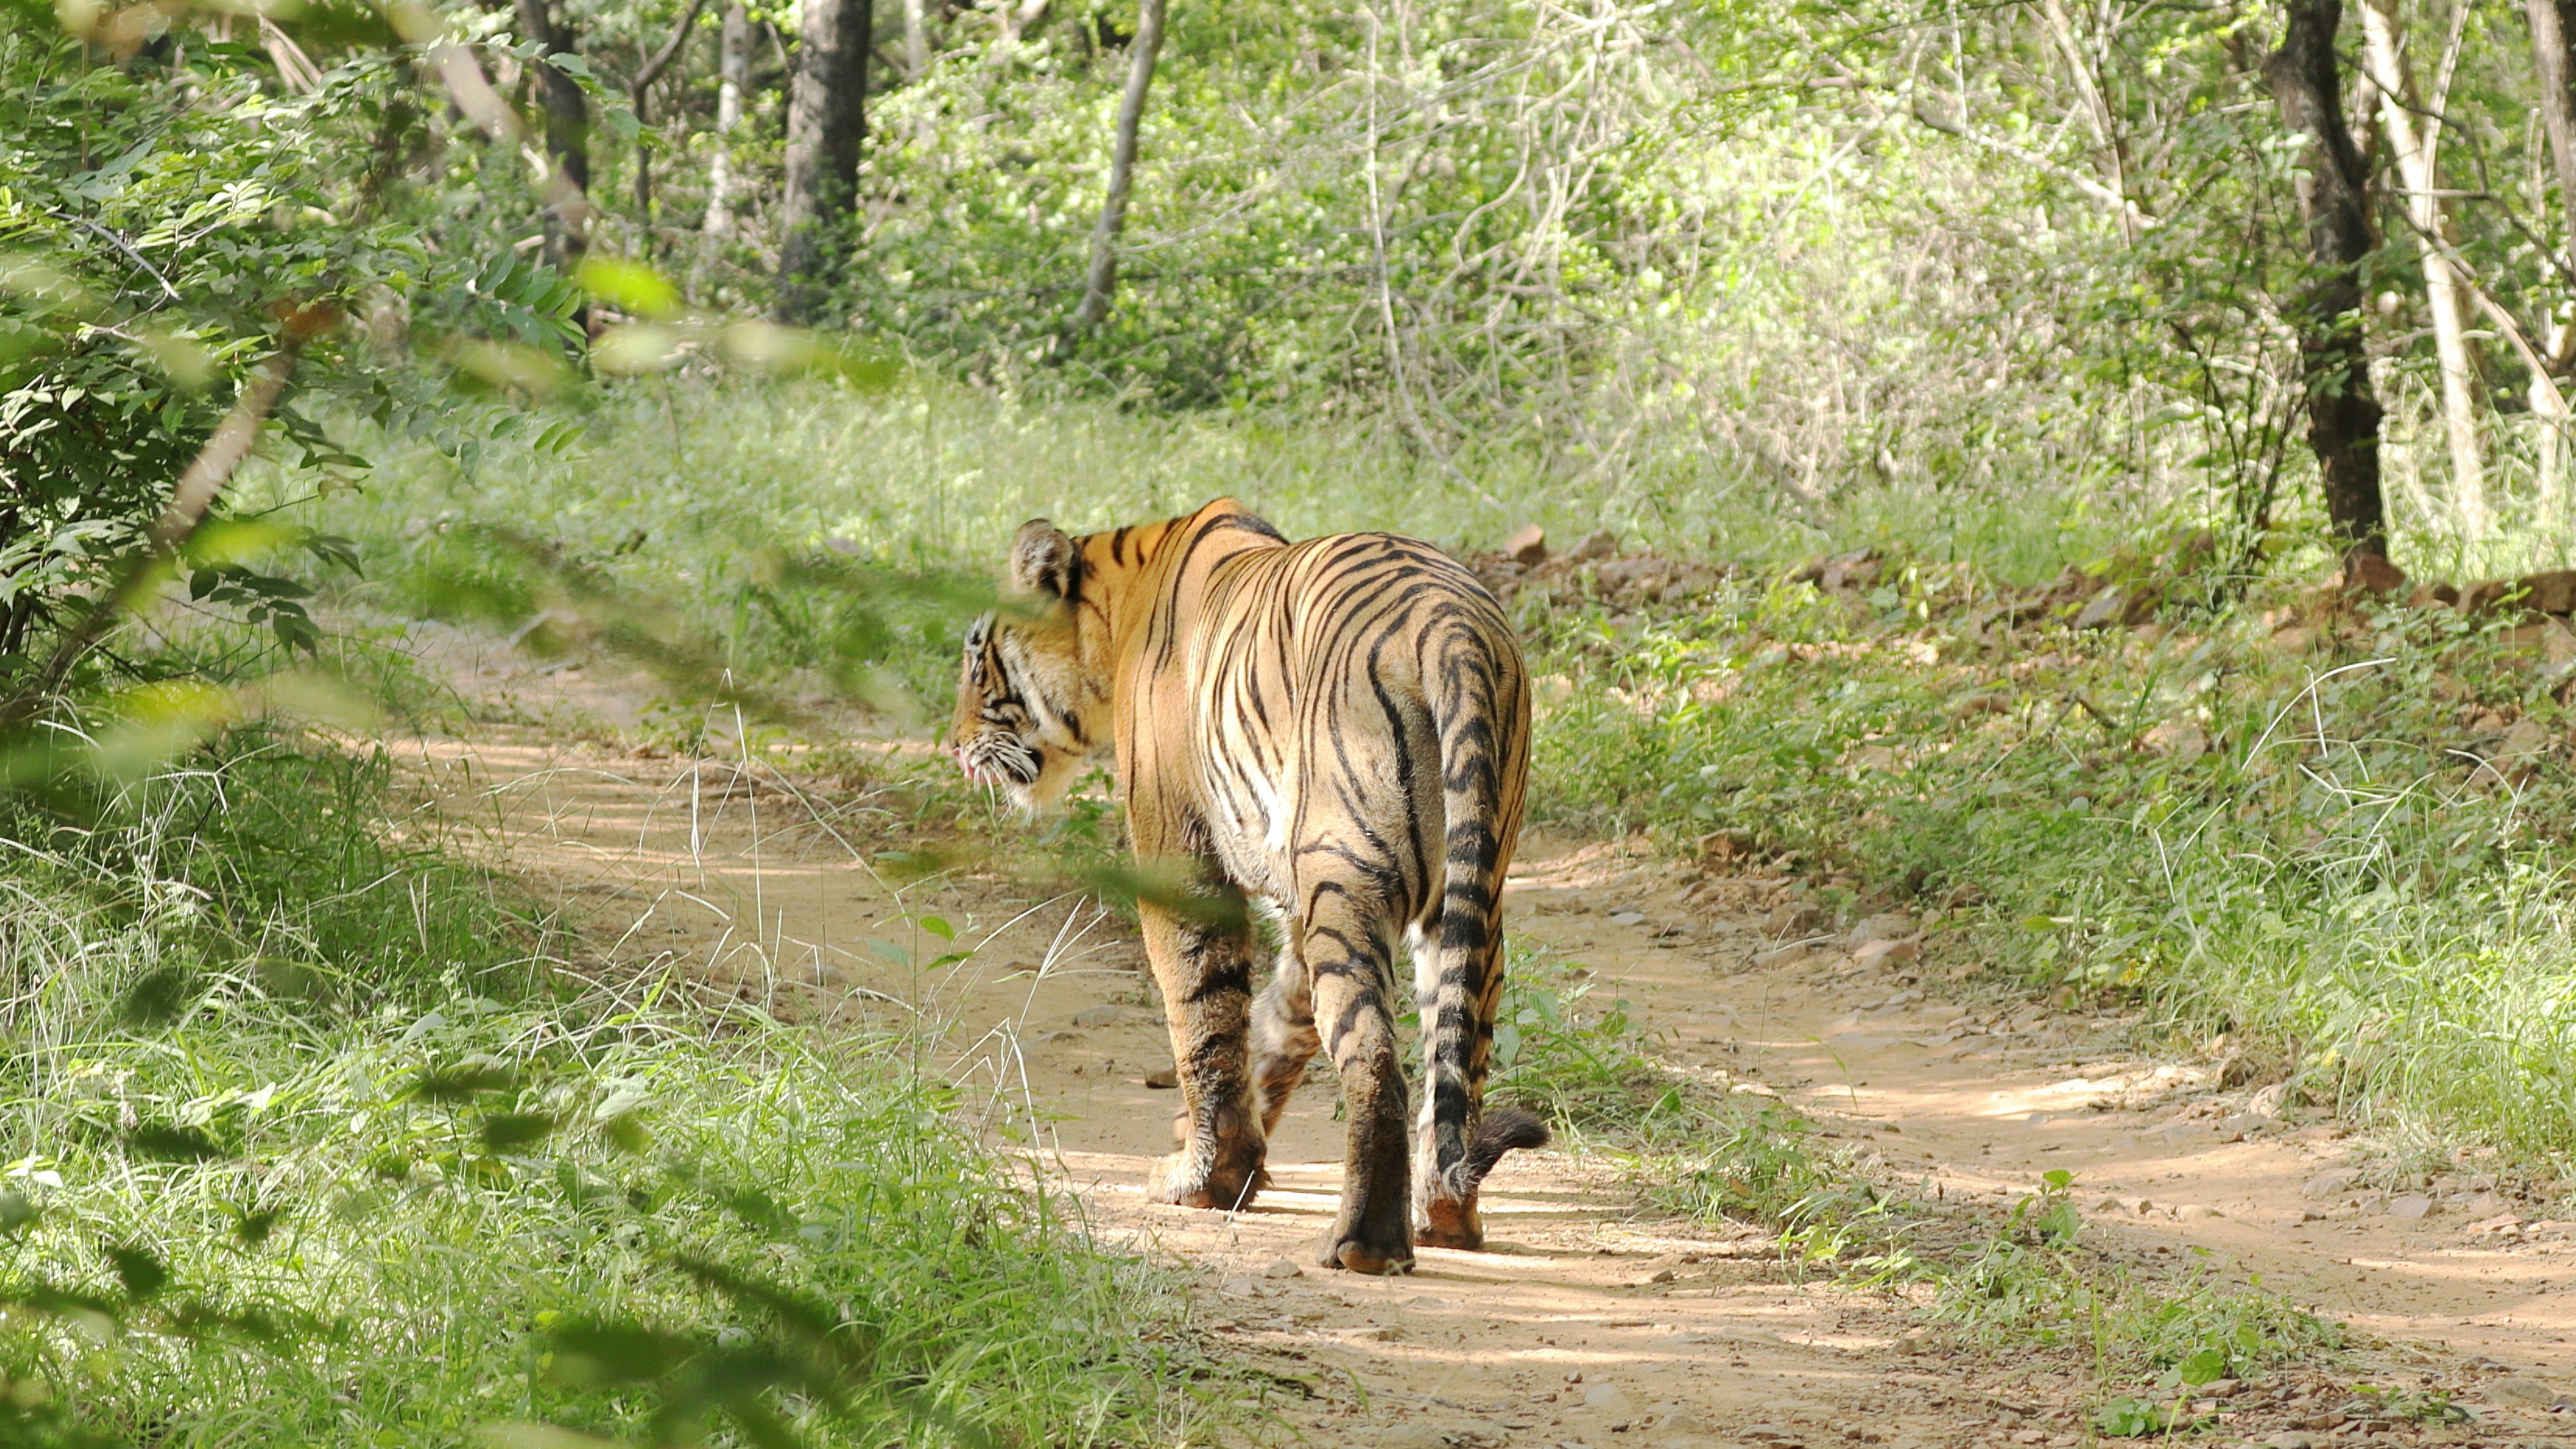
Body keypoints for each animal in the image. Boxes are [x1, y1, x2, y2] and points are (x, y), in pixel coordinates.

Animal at [949, 498, 1547, 1274]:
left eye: (975, 658)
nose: (954, 743)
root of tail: (1453, 629)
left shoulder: (1178, 851)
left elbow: (1202, 1015)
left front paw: (1202, 1178)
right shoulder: (1294, 899)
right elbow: (1275, 1020)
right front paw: (1228, 1153)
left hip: (1348, 874)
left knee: (1374, 1061)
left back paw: (1363, 1242)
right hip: (1466, 900)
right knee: (1453, 1063)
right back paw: (1445, 1218)